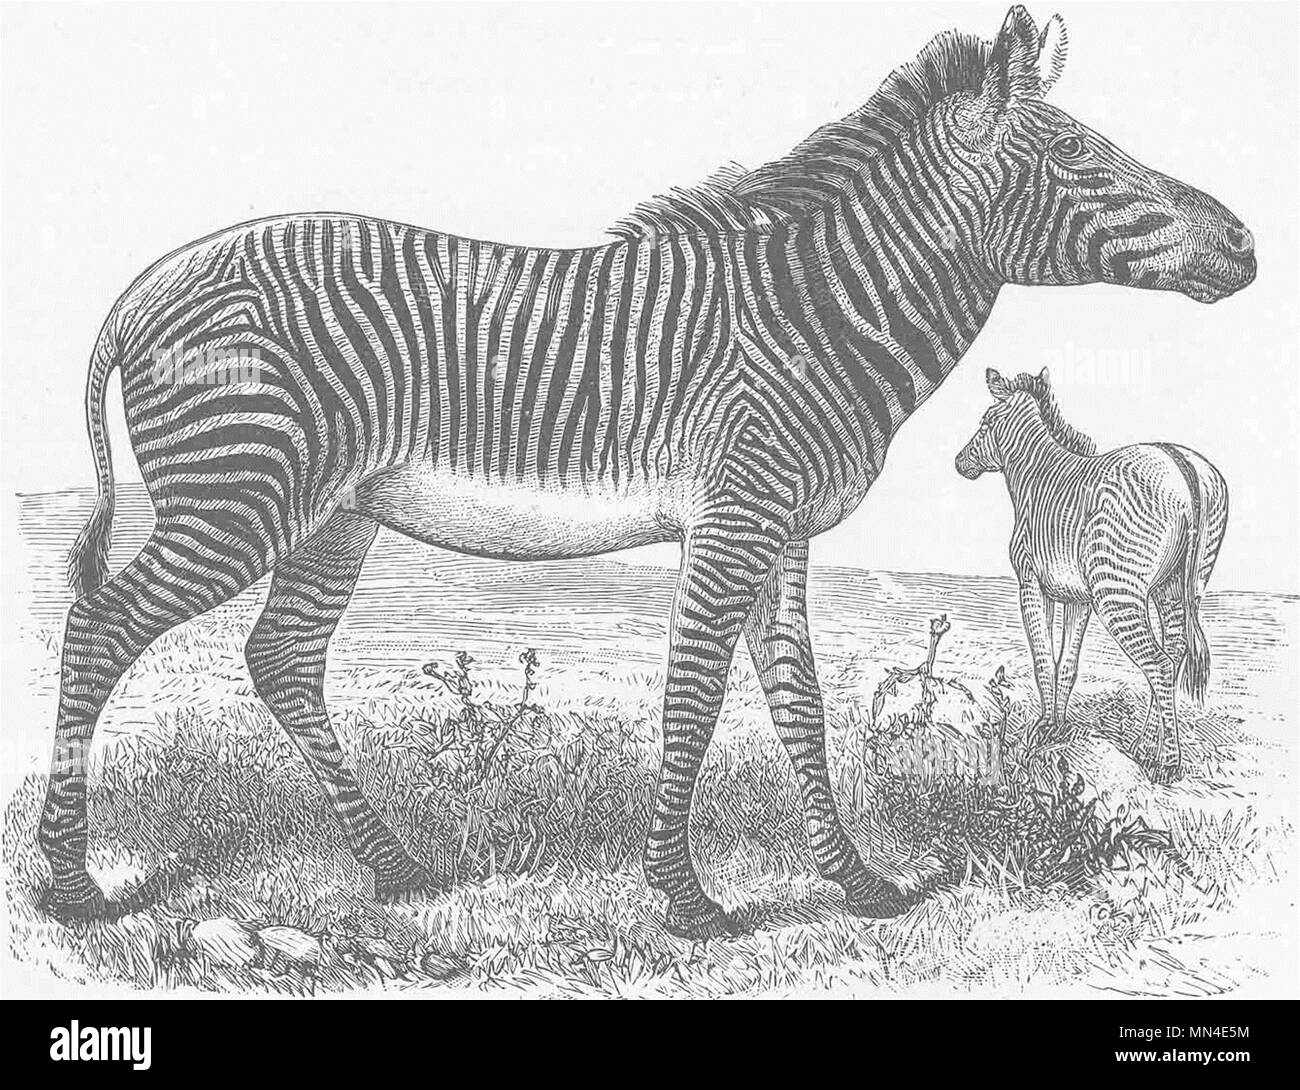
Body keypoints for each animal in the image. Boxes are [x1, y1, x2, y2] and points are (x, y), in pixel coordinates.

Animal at [954, 368, 1228, 781]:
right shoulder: (1076, 597)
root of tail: (1183, 465)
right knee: (1174, 653)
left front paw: (1042, 728)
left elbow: (1042, 658)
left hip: (1116, 593)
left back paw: (1168, 763)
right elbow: (1066, 663)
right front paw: (1056, 728)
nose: (958, 461)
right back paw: (1145, 747)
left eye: (985, 421)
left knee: (1160, 662)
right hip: (1176, 588)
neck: (1036, 475)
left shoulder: (1031, 583)